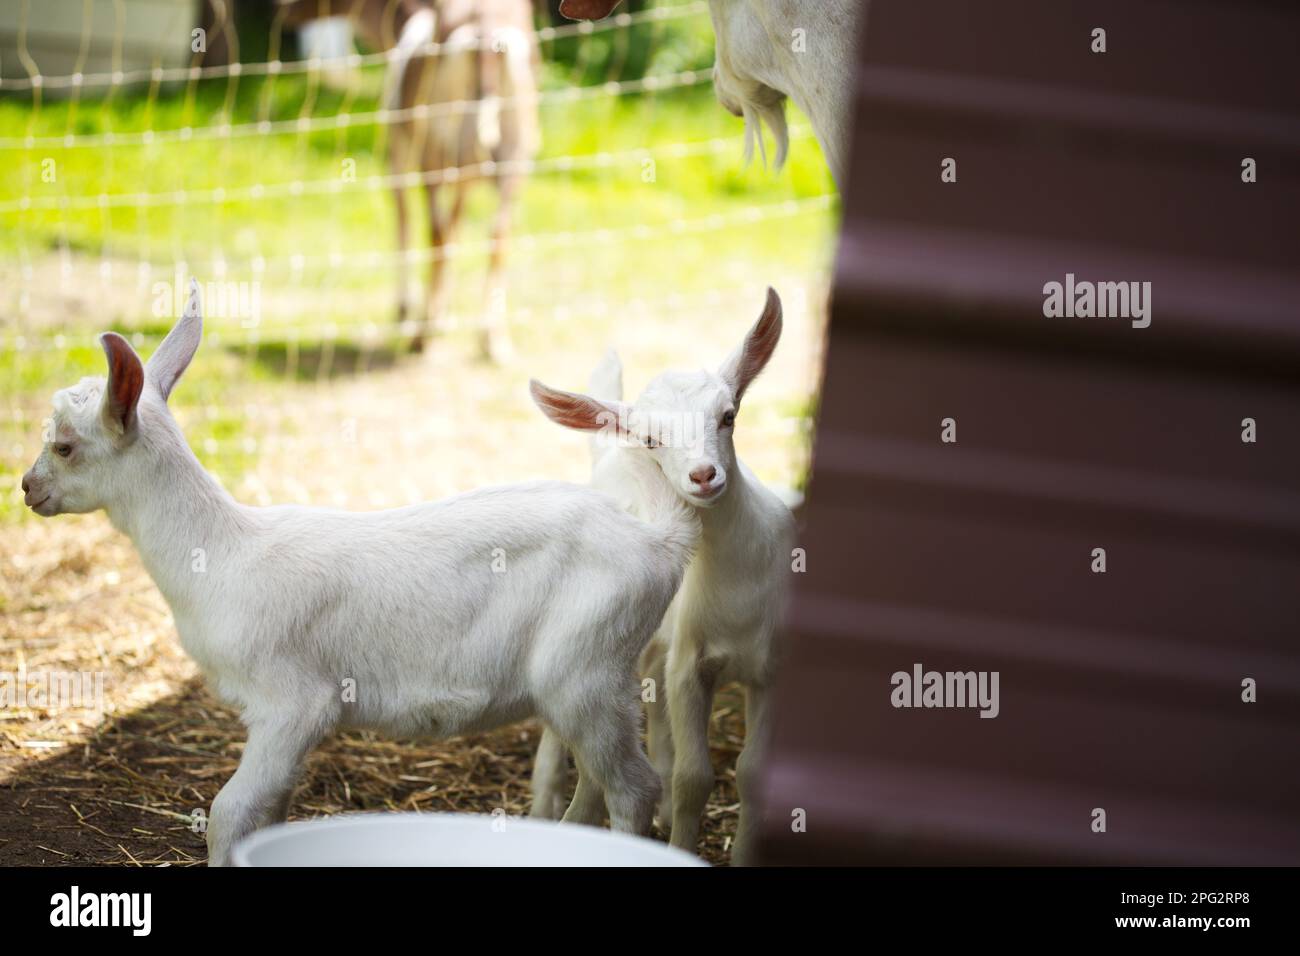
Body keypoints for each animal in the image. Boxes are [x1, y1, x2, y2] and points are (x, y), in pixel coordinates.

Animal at [20, 281, 697, 865]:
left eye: (64, 446)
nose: (28, 488)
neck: (222, 553)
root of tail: (659, 541)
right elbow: (270, 812)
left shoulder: (293, 703)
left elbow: (229, 813)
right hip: (587, 682)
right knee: (595, 786)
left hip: (586, 669)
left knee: (635, 789)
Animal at [281, 0, 540, 358]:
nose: (281, 10)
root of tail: (487, 39)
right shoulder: (466, 180)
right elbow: (458, 225)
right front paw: (443, 312)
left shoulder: (398, 151)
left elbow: (404, 217)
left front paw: (405, 311)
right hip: (514, 155)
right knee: (496, 234)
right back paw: (493, 342)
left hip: (436, 151)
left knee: (436, 231)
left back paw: (422, 335)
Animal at [527, 287, 796, 863]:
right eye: (651, 440)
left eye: (729, 415)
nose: (703, 475)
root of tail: (607, 451)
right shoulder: (690, 663)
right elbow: (696, 777)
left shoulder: (769, 668)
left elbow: (750, 775)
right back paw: (545, 803)